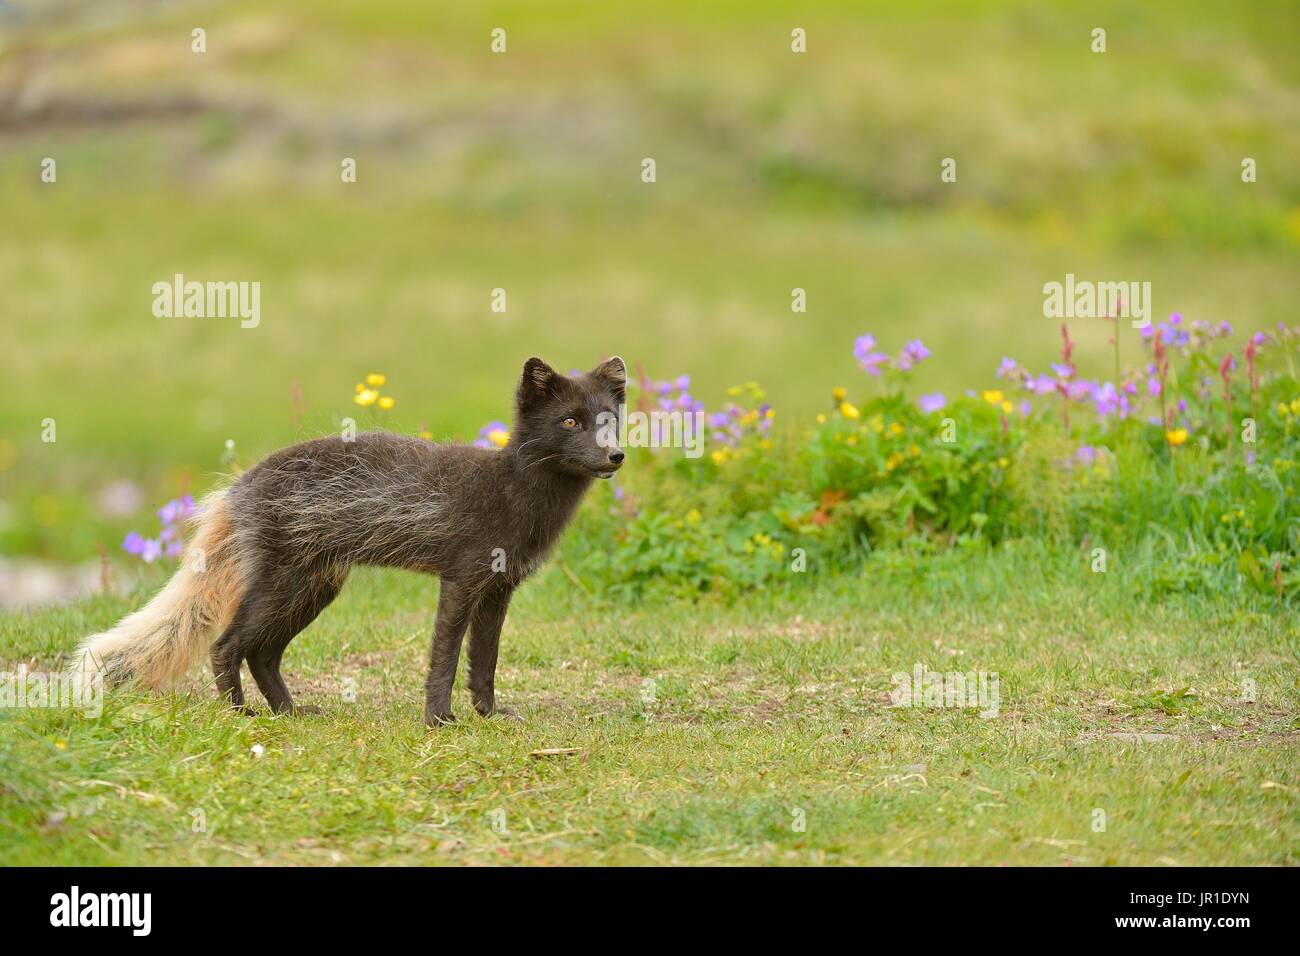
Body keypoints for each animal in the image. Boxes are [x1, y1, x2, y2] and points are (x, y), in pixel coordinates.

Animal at [70, 356, 626, 725]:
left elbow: (483, 661)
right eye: (570, 421)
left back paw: (292, 712)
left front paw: (488, 715)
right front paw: (439, 720)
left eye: (610, 421)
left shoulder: (499, 588)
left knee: (262, 653)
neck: (514, 490)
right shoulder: (460, 579)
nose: (616, 457)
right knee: (228, 645)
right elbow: (444, 658)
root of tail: (237, 486)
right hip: (284, 587)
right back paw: (240, 714)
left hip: (314, 590)